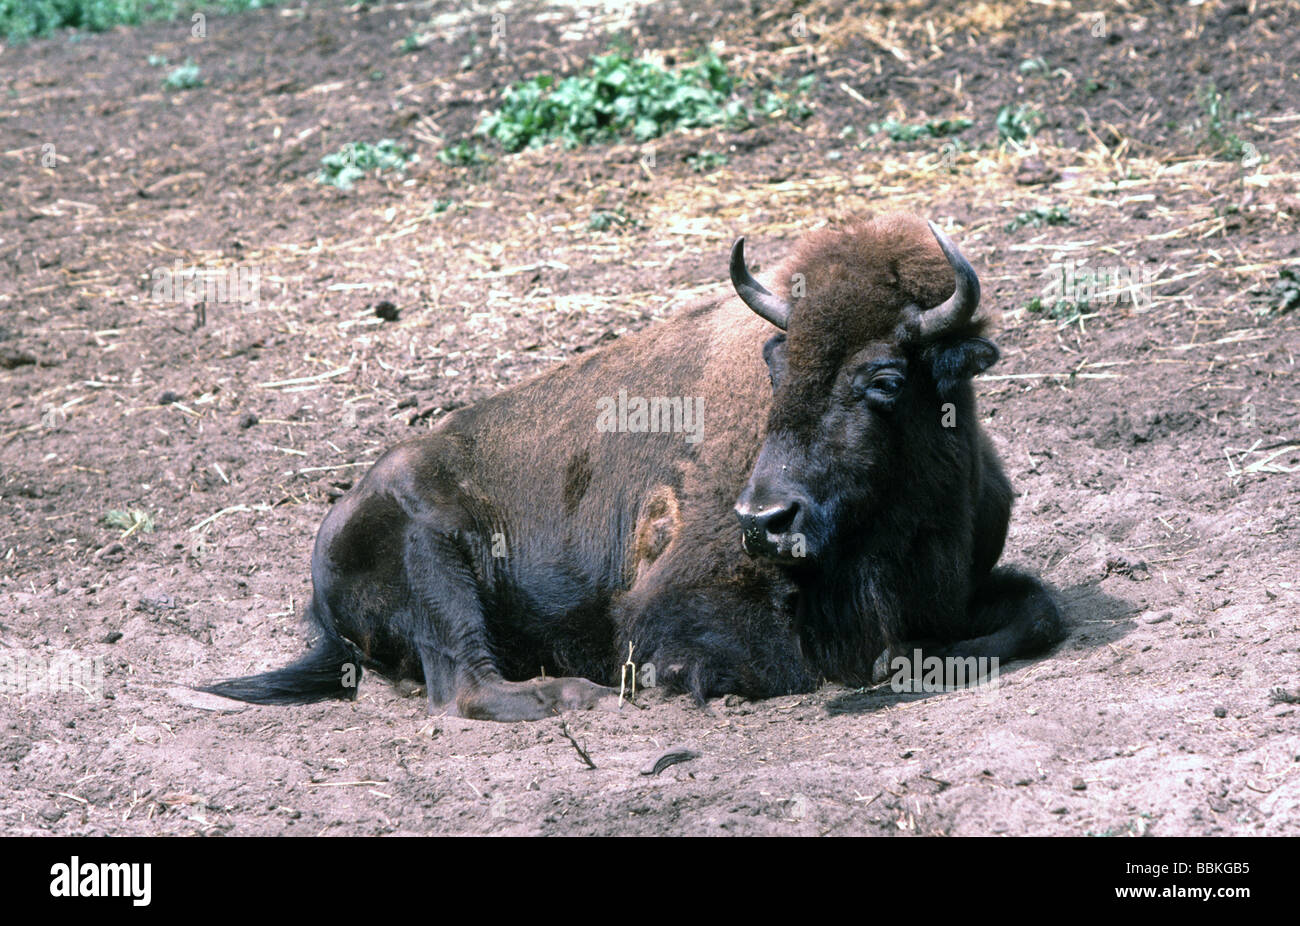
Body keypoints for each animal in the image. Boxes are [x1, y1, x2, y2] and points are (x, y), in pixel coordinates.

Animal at [203, 212, 1063, 720]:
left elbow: (1036, 611)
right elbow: (796, 660)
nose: (764, 519)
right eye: (777, 363)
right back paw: (579, 692)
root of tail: (330, 537)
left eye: (883, 379)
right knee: (466, 686)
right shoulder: (679, 601)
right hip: (434, 560)